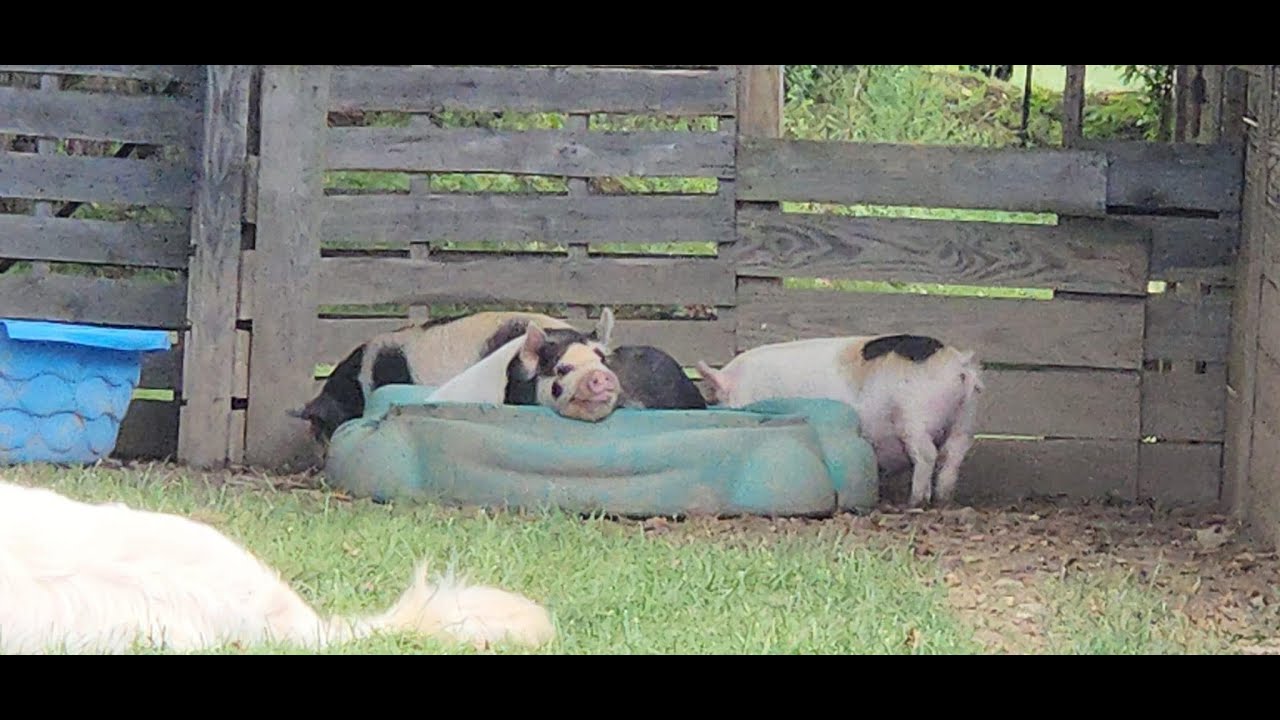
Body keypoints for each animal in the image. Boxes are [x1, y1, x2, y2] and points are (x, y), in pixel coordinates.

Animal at [696, 334, 983, 508]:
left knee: (927, 454)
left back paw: (914, 501)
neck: (744, 385)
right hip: (966, 419)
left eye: (720, 399)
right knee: (954, 453)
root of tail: (960, 366)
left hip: (916, 416)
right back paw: (943, 498)